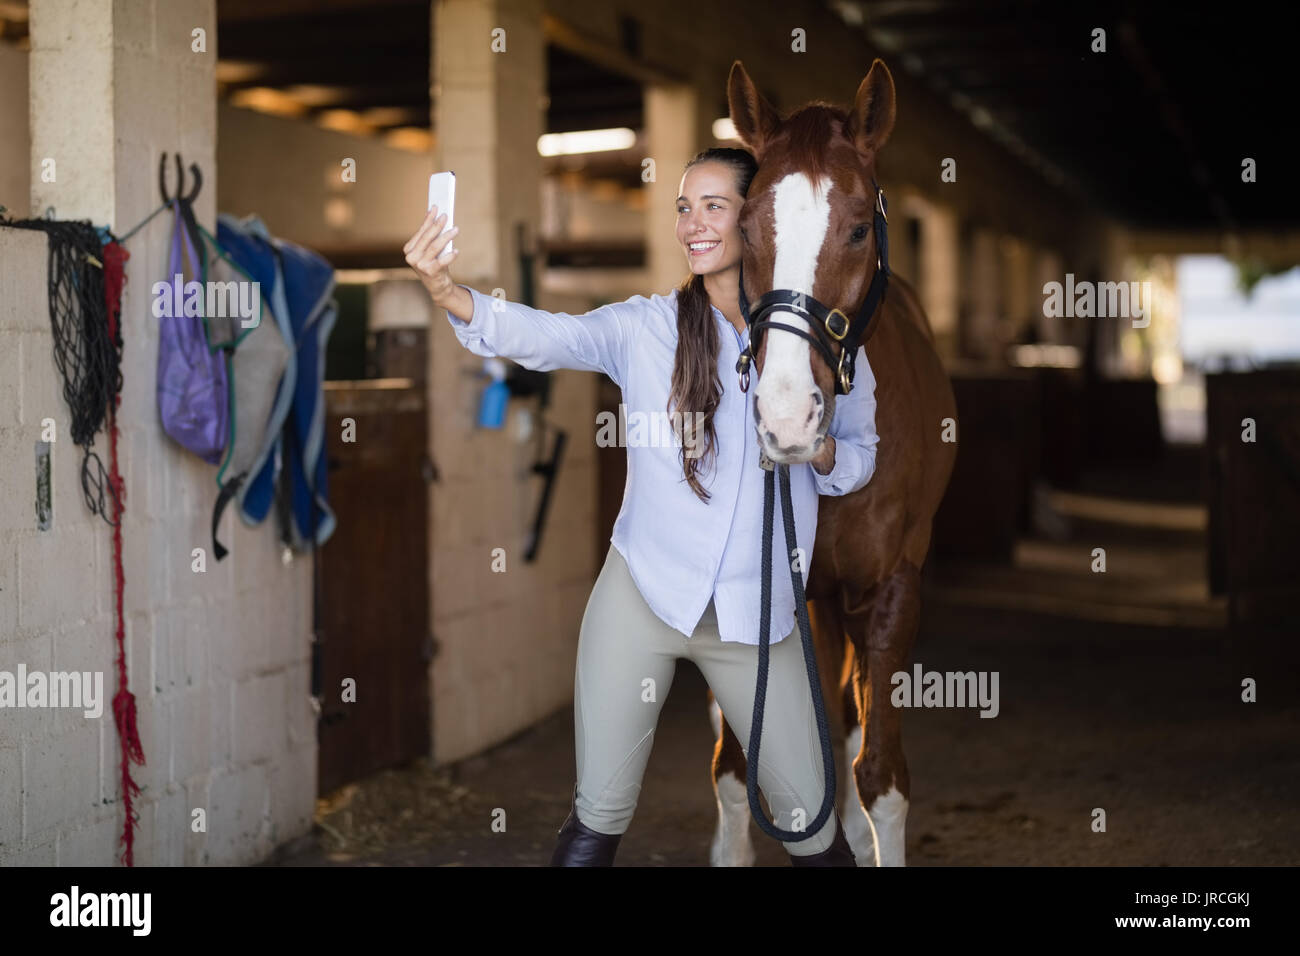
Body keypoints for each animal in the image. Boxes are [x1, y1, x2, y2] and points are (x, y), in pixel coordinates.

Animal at [707, 58, 958, 867]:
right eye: (744, 226)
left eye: (856, 228)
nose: (788, 419)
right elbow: (739, 767)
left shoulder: (891, 593)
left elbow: (880, 776)